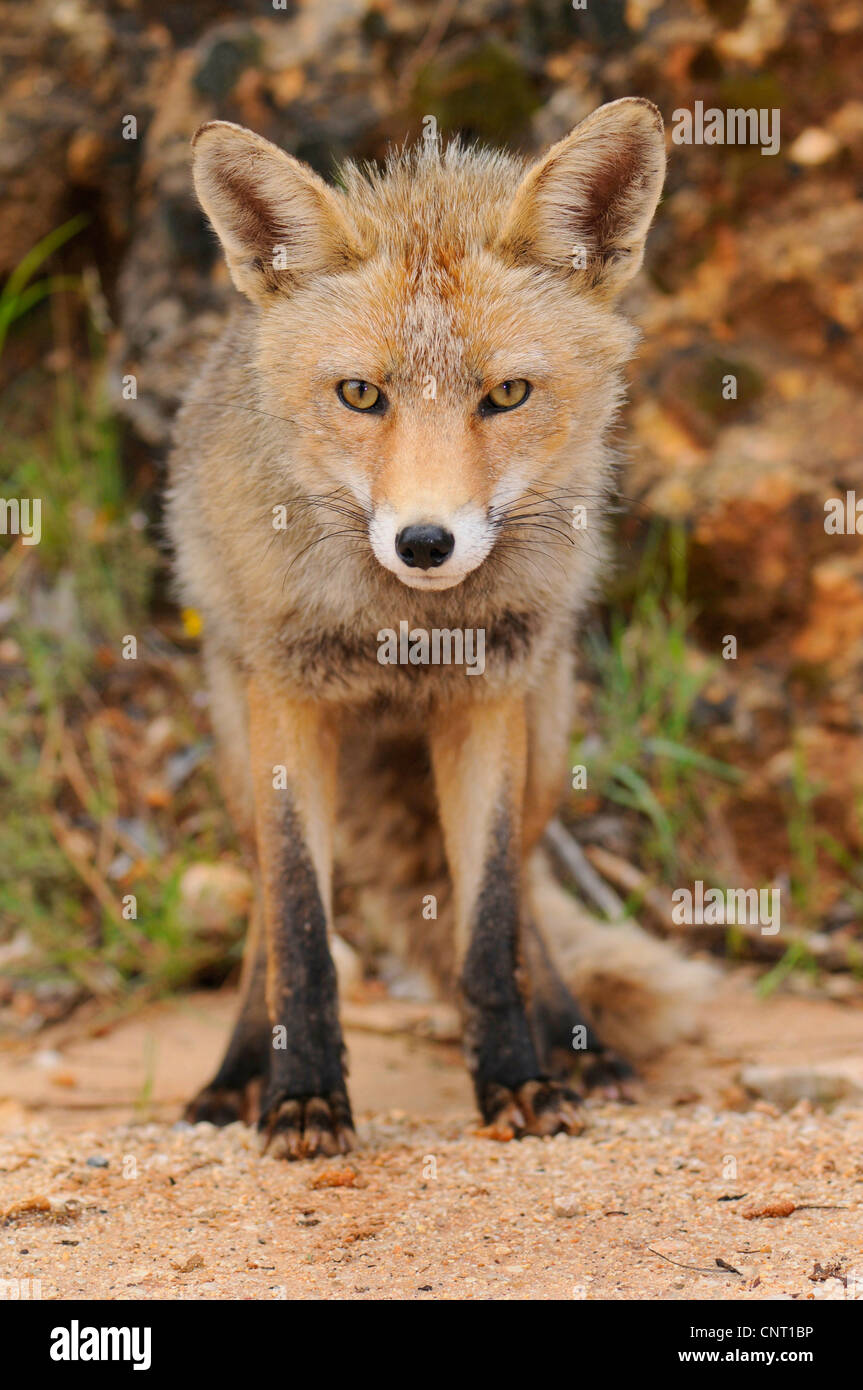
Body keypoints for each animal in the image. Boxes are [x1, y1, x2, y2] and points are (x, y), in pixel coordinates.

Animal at [167, 98, 713, 1160]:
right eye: (360, 395)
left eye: (505, 395)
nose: (424, 542)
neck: (406, 633)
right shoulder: (290, 698)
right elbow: (300, 931)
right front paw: (302, 1097)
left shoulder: (487, 699)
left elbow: (490, 924)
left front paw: (517, 1080)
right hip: (239, 746)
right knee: (262, 911)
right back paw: (238, 1071)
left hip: (544, 738)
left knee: (527, 900)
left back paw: (577, 1045)